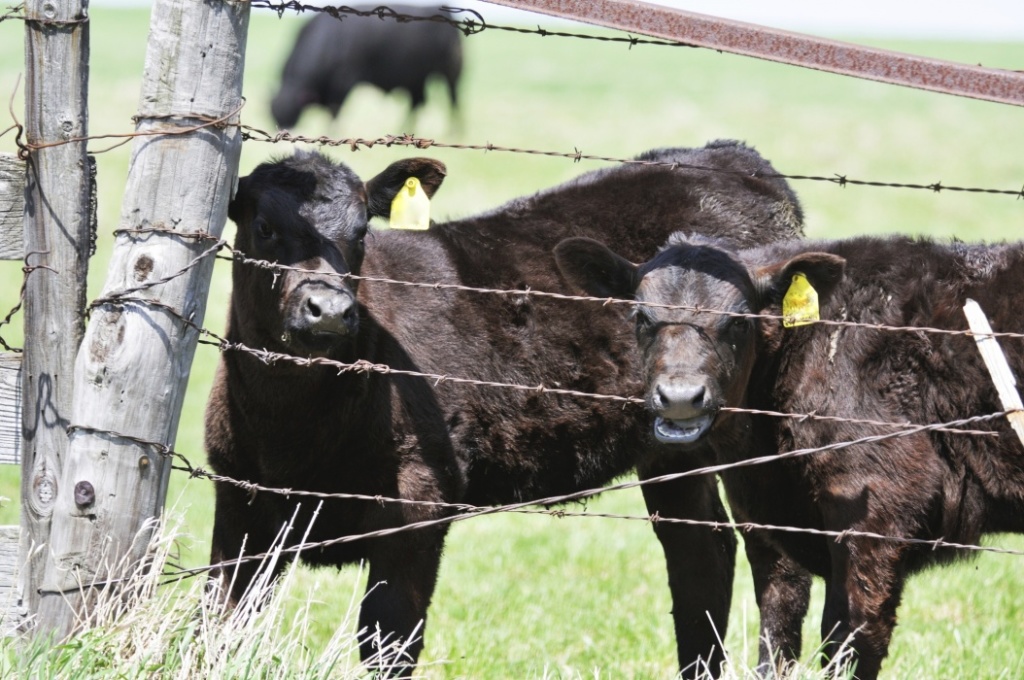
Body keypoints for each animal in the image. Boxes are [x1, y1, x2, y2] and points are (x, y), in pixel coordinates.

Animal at [205, 140, 806, 677]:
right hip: (673, 446)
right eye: (264, 228)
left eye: (360, 234)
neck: (296, 430)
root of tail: (731, 155)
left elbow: (388, 642)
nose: (329, 310)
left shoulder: (420, 502)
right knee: (701, 551)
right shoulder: (238, 502)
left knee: (779, 562)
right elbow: (221, 620)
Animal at [270, 8, 463, 130]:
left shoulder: (344, 81)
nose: (283, 132)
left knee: (453, 100)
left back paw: (454, 131)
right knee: (417, 103)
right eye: (274, 116)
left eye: (289, 114)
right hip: (415, 79)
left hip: (451, 72)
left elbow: (335, 111)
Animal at [553, 231, 1024, 679]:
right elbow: (778, 625)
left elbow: (850, 639)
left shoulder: (880, 503)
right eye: (641, 317)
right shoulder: (764, 518)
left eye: (738, 321)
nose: (681, 398)